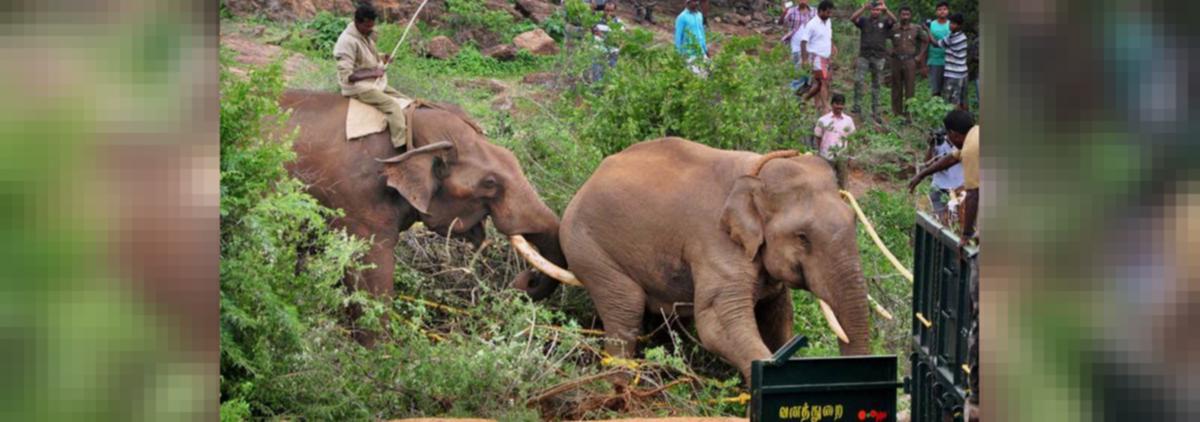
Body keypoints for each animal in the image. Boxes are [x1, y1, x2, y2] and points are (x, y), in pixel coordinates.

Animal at [278, 90, 567, 345]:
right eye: (490, 183)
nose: (527, 279)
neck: (410, 136)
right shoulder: (356, 203)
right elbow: (372, 271)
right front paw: (379, 354)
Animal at [520, 138, 872, 379]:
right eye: (802, 237)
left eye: (854, 221)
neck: (758, 173)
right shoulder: (715, 244)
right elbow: (719, 324)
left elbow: (777, 317)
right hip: (588, 247)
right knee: (626, 307)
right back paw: (618, 390)